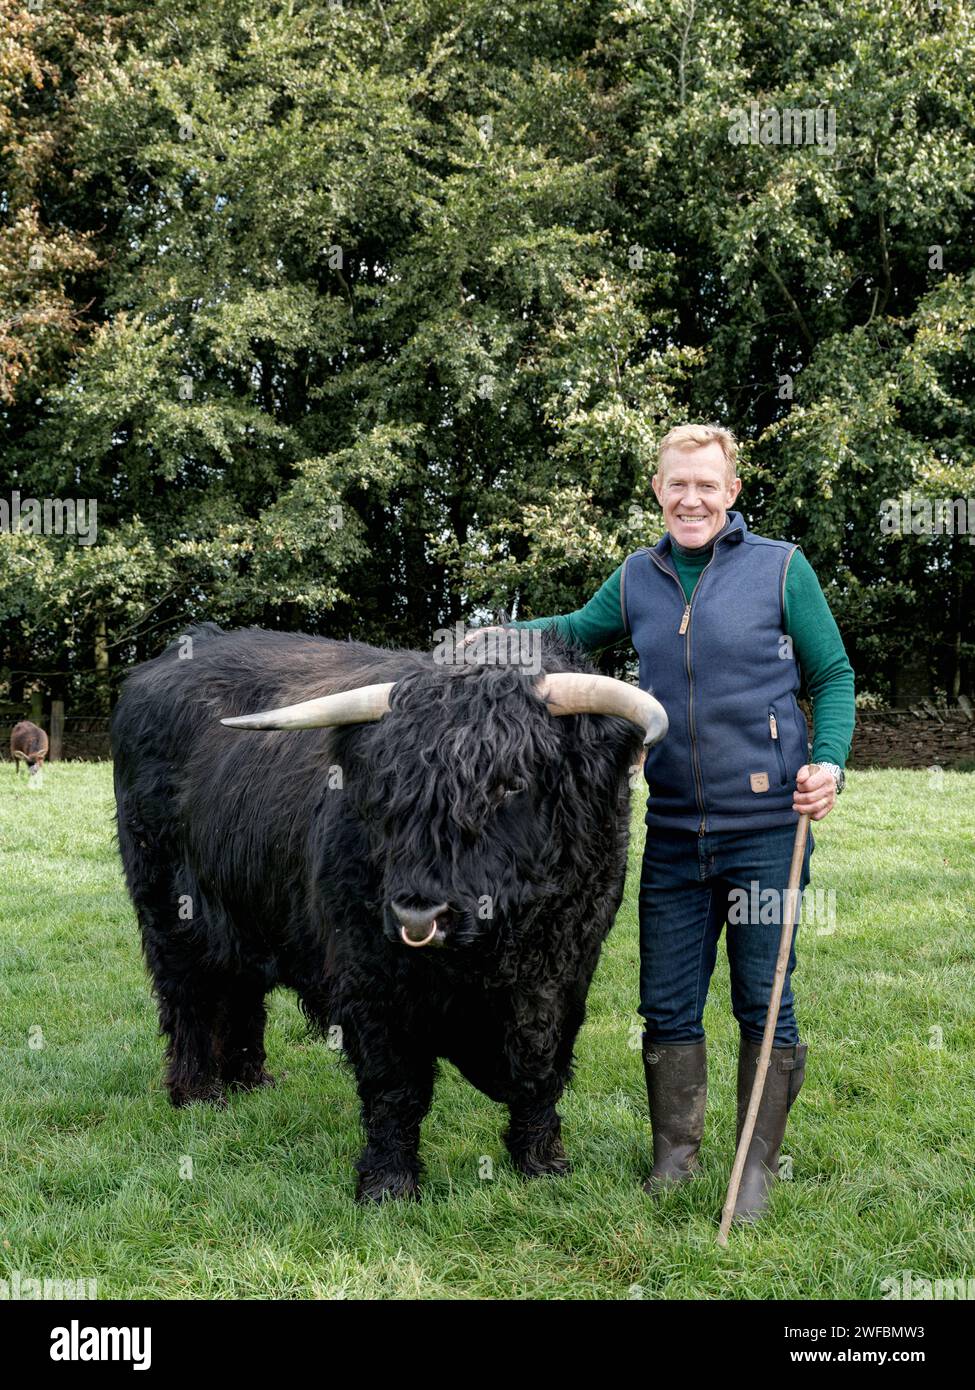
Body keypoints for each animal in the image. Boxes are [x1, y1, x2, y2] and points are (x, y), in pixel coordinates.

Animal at [111, 622, 667, 1201]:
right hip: (170, 909)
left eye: (513, 784)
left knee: (241, 991)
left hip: (245, 910)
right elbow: (395, 1086)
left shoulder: (566, 973)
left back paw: (250, 1082)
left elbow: (541, 1067)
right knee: (188, 997)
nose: (417, 915)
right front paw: (387, 1184)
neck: (489, 956)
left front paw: (542, 1162)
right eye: (391, 788)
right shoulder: (371, 979)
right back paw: (198, 1093)